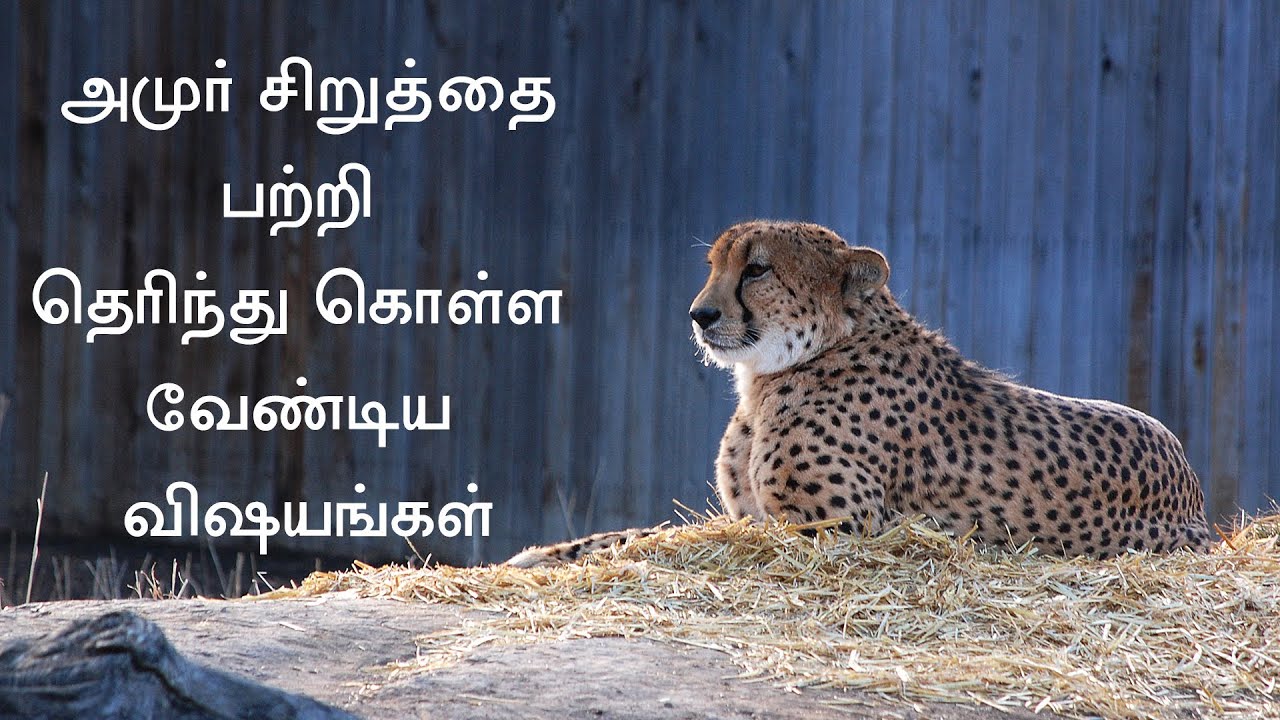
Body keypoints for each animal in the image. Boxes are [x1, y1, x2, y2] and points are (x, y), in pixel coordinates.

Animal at [505, 220, 1211, 567]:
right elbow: (646, 529)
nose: (699, 315)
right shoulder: (760, 517)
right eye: (713, 266)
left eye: (756, 269)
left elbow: (670, 539)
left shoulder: (836, 529)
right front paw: (546, 552)